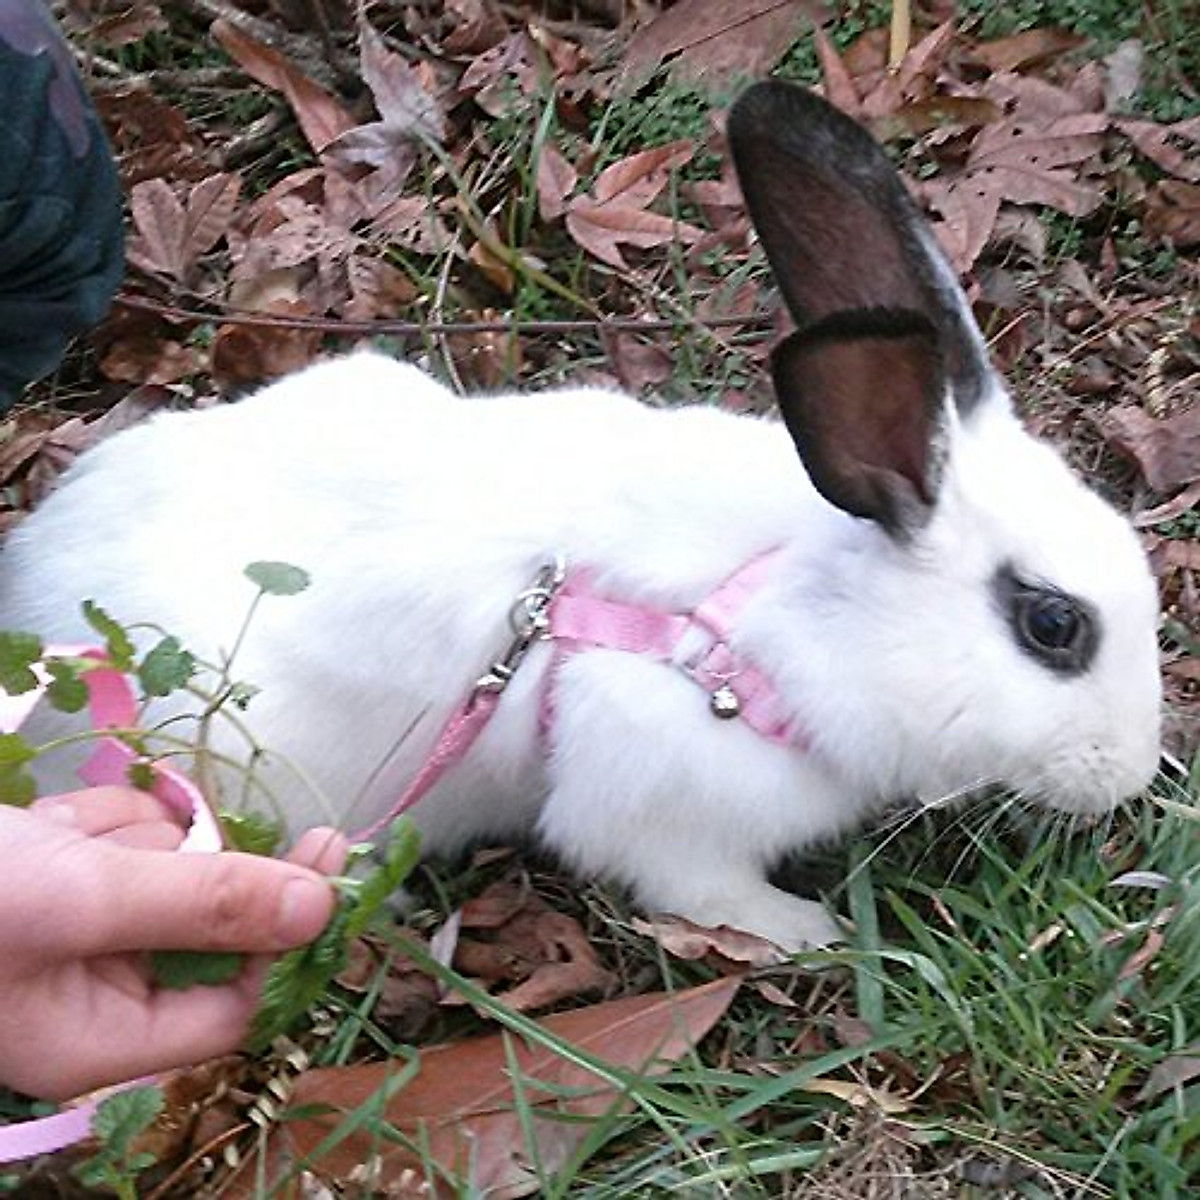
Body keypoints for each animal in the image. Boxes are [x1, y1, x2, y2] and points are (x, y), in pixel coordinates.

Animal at [0, 81, 1162, 952]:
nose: (1135, 776)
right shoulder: (661, 803)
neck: (780, 611)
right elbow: (699, 886)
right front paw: (809, 932)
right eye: (1052, 626)